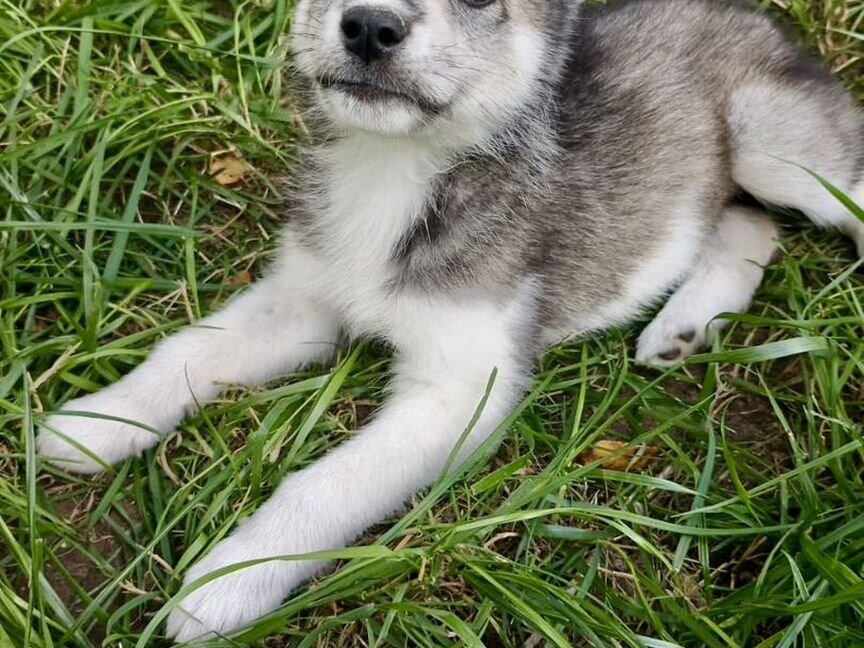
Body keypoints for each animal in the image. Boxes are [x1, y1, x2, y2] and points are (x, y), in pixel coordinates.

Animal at [35, 0, 864, 640]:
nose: (370, 26)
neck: (393, 170)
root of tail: (763, 20)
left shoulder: (464, 388)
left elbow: (322, 486)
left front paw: (228, 582)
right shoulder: (303, 298)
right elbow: (187, 351)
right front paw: (99, 420)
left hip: (772, 143)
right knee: (749, 226)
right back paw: (683, 328)